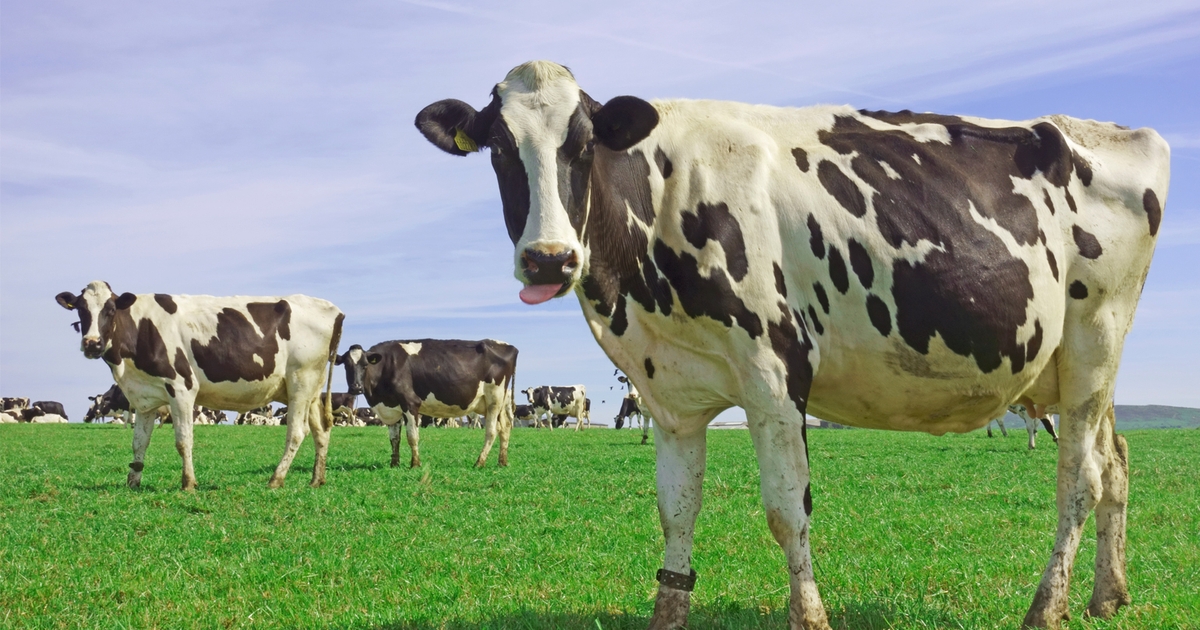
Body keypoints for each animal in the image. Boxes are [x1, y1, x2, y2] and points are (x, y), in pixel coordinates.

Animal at [57, 281, 344, 490]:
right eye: (81, 310)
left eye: (110, 310)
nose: (92, 343)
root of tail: (333, 309)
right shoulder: (145, 398)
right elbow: (139, 443)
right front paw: (133, 481)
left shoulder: (182, 388)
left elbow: (184, 440)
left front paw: (188, 484)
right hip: (311, 391)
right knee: (321, 431)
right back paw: (316, 480)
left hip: (300, 383)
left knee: (297, 432)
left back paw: (276, 479)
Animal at [337, 340, 518, 467]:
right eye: (346, 365)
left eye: (365, 365)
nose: (356, 387)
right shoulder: (392, 407)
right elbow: (394, 438)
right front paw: (394, 464)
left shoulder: (410, 403)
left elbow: (412, 436)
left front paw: (415, 464)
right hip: (496, 404)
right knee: (505, 428)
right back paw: (502, 461)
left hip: (494, 399)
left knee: (492, 431)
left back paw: (479, 462)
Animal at [415, 60, 1169, 628]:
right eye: (500, 149)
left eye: (582, 145)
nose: (549, 258)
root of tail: (1111, 129)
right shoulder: (670, 395)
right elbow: (675, 511)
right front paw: (668, 612)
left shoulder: (774, 375)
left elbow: (785, 510)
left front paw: (809, 617)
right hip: (1076, 369)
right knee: (1117, 462)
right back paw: (1107, 596)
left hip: (1094, 340)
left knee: (1080, 478)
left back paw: (1048, 608)